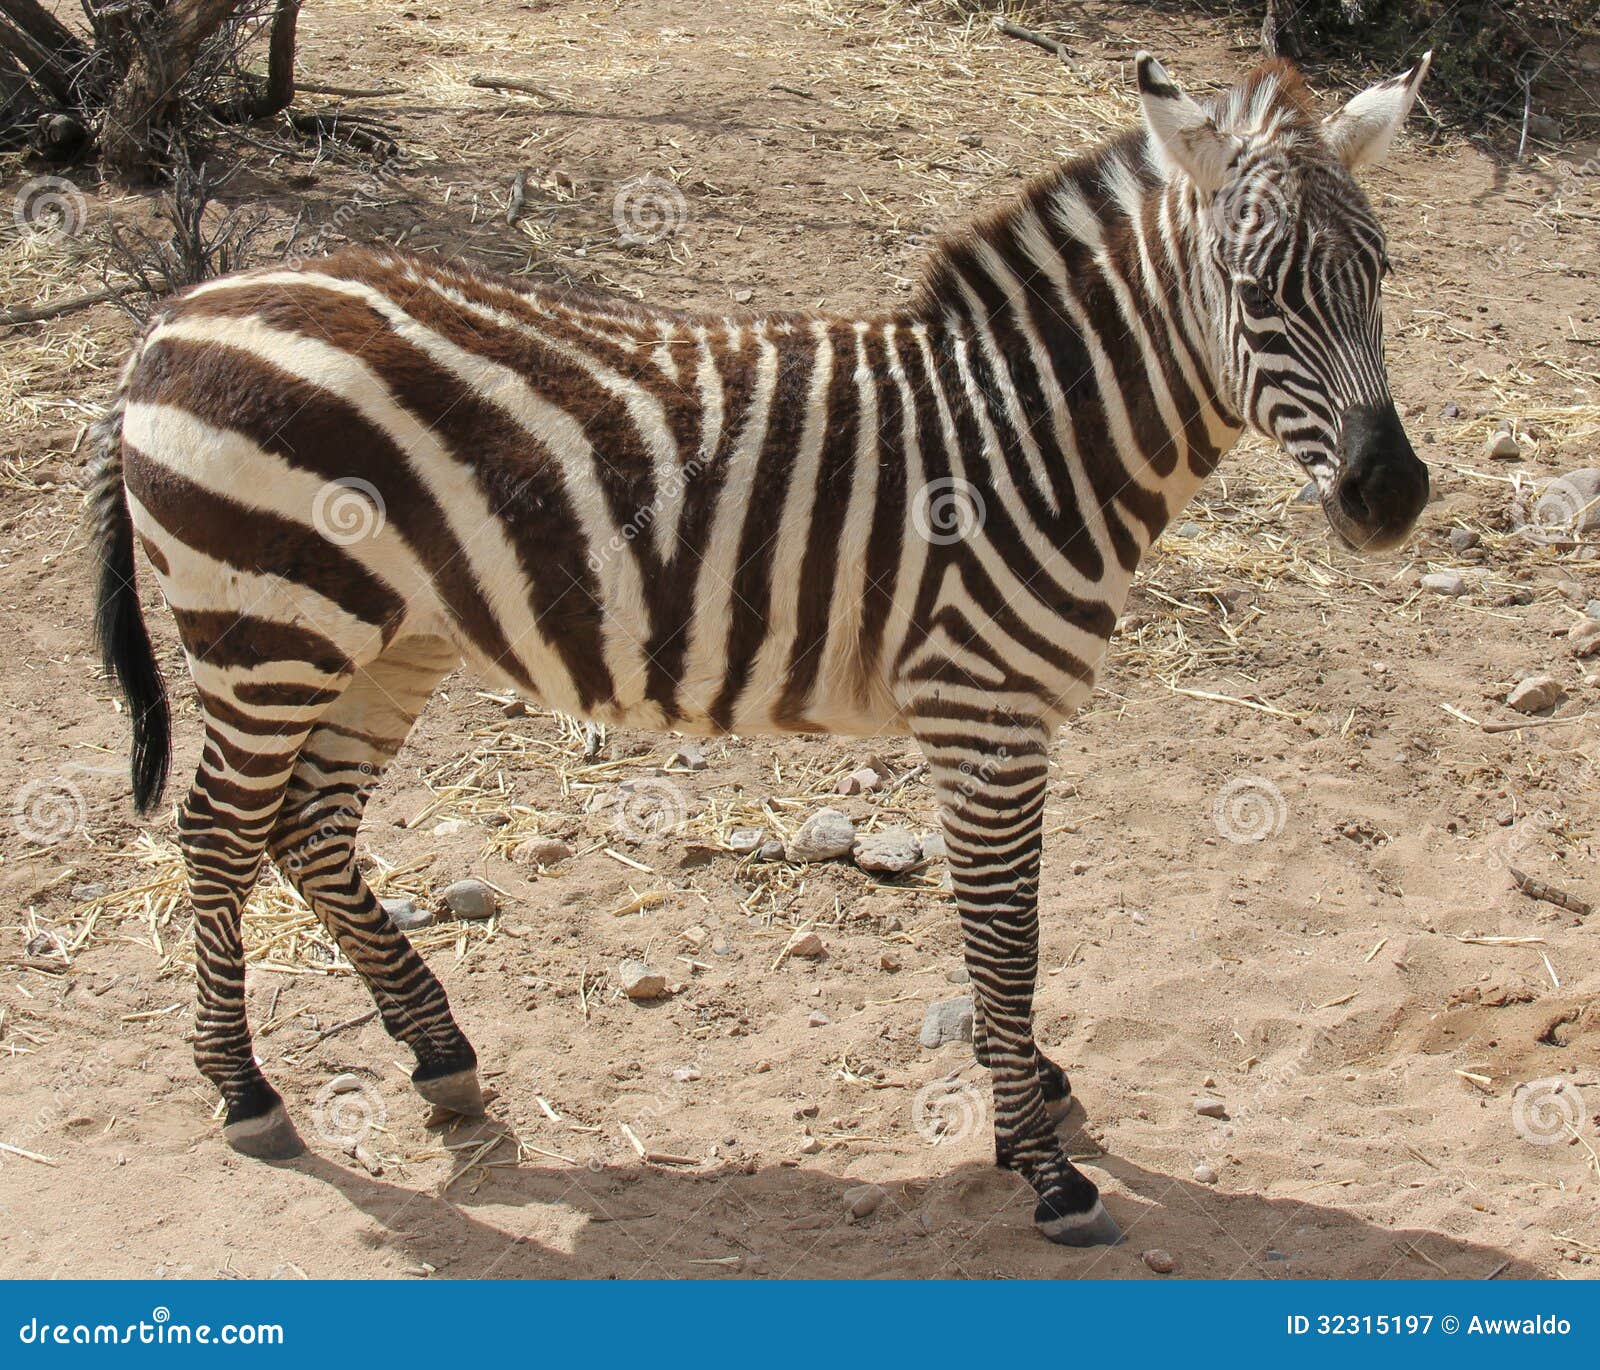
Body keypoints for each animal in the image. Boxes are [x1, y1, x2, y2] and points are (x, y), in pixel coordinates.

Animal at [89, 52, 1431, 1246]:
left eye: (1379, 274)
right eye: (1254, 288)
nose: (1392, 495)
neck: (1029, 441)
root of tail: (181, 309)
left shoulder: (1002, 717)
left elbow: (1007, 924)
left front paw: (1036, 1097)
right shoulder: (984, 705)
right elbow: (1006, 930)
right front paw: (1043, 1166)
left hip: (385, 636)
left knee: (307, 826)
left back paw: (438, 1054)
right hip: (270, 629)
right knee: (218, 833)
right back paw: (245, 1090)